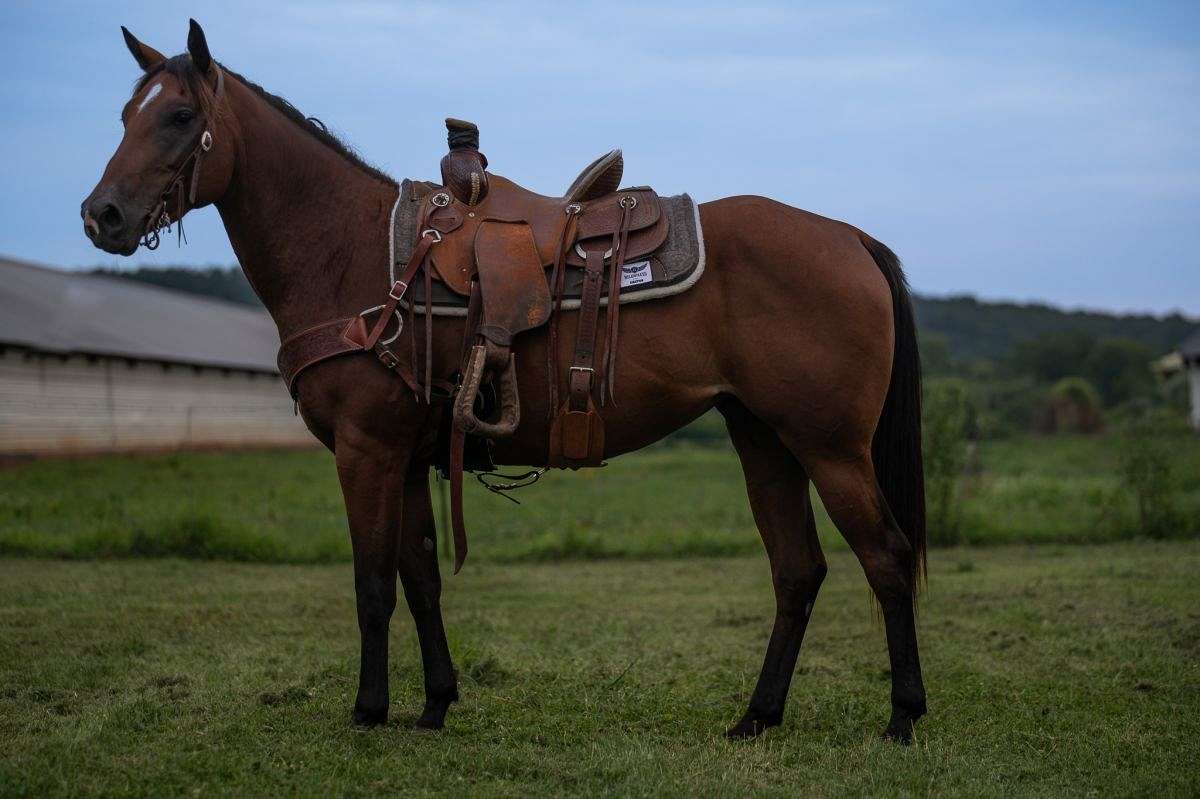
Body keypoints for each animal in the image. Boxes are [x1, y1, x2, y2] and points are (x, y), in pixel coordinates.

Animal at [81, 20, 928, 742]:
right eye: (124, 114)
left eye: (180, 115)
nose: (102, 216)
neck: (350, 253)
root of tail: (850, 238)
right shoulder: (407, 457)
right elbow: (420, 575)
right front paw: (434, 704)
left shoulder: (365, 450)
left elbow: (371, 584)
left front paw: (368, 710)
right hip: (765, 440)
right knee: (798, 570)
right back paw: (757, 716)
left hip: (830, 447)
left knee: (886, 558)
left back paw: (902, 716)